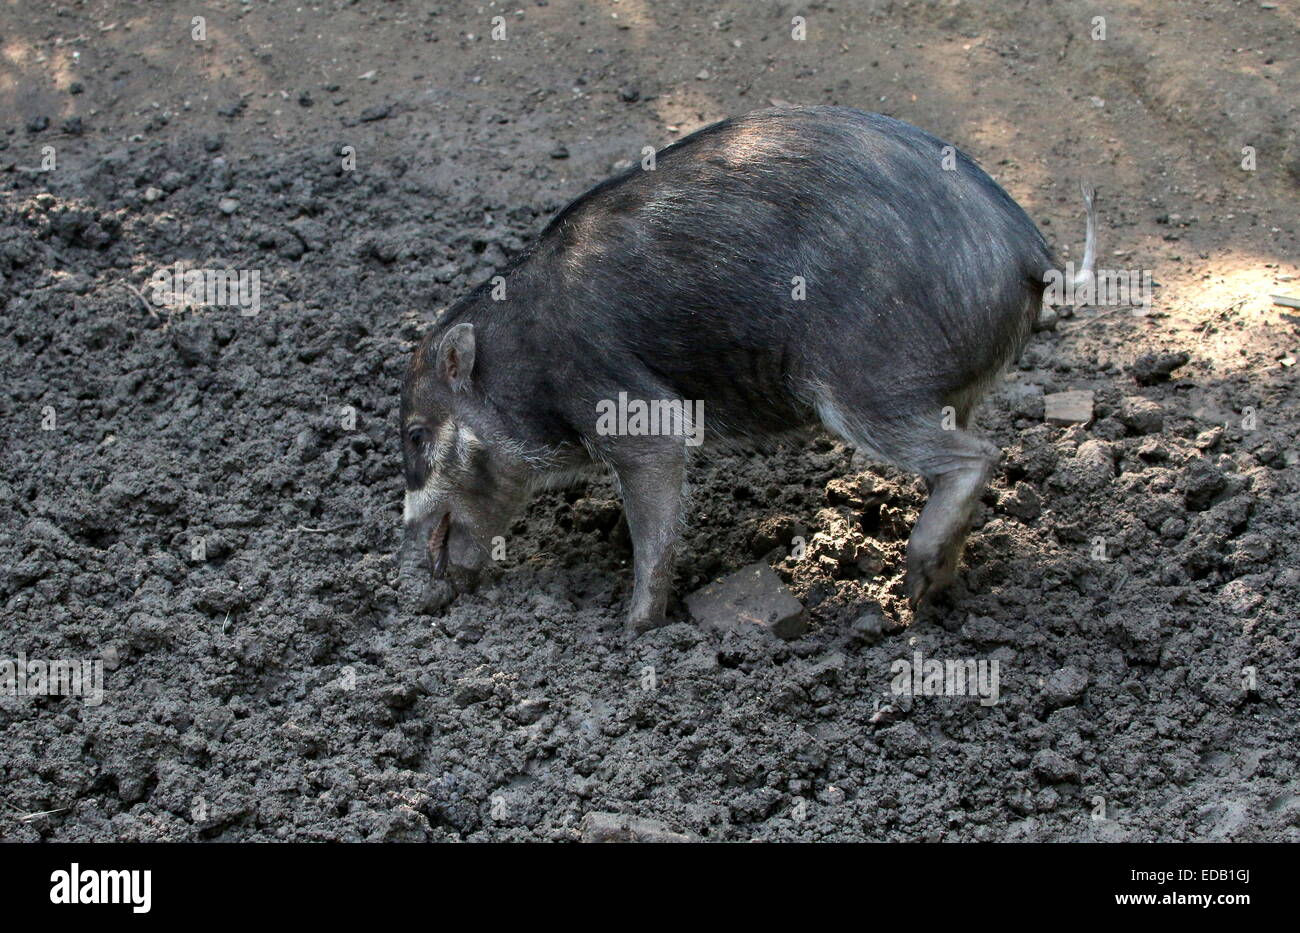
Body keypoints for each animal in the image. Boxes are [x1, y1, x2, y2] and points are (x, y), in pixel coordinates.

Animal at [400, 105, 1096, 633]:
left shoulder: (632, 410)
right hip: (947, 388)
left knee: (979, 454)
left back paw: (914, 585)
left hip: (867, 385)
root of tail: (1031, 251)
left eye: (414, 437)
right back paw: (936, 593)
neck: (523, 361)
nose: (410, 554)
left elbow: (655, 518)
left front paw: (634, 629)